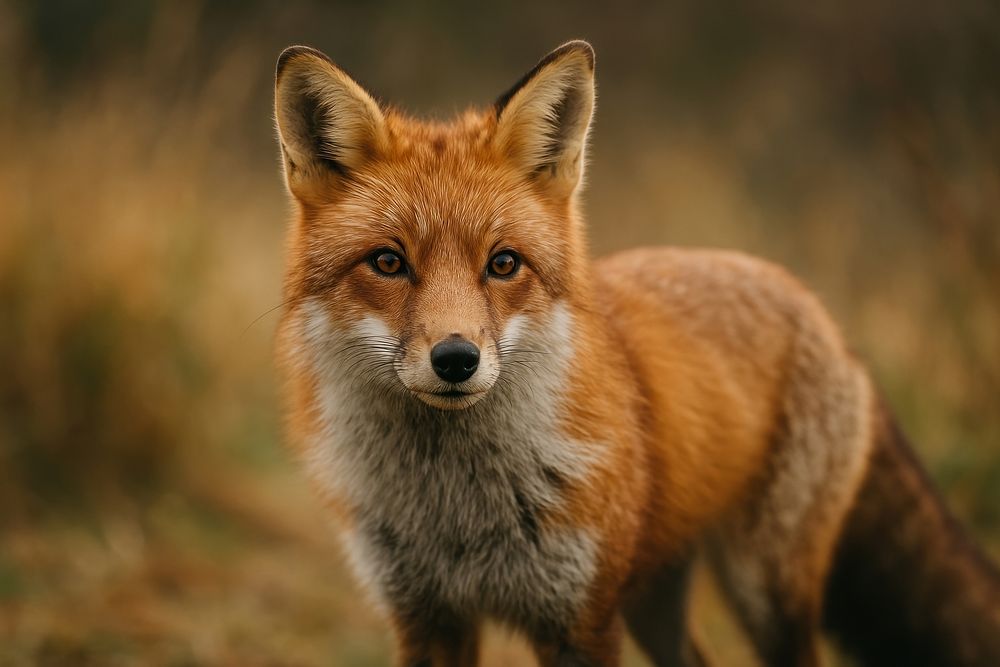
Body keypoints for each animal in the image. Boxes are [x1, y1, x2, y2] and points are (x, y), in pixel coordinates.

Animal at [272, 40, 1000, 666]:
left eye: (503, 263)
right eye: (388, 262)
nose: (456, 358)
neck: (455, 512)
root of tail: (808, 299)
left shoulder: (580, 618)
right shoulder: (426, 614)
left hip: (765, 592)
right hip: (656, 599)